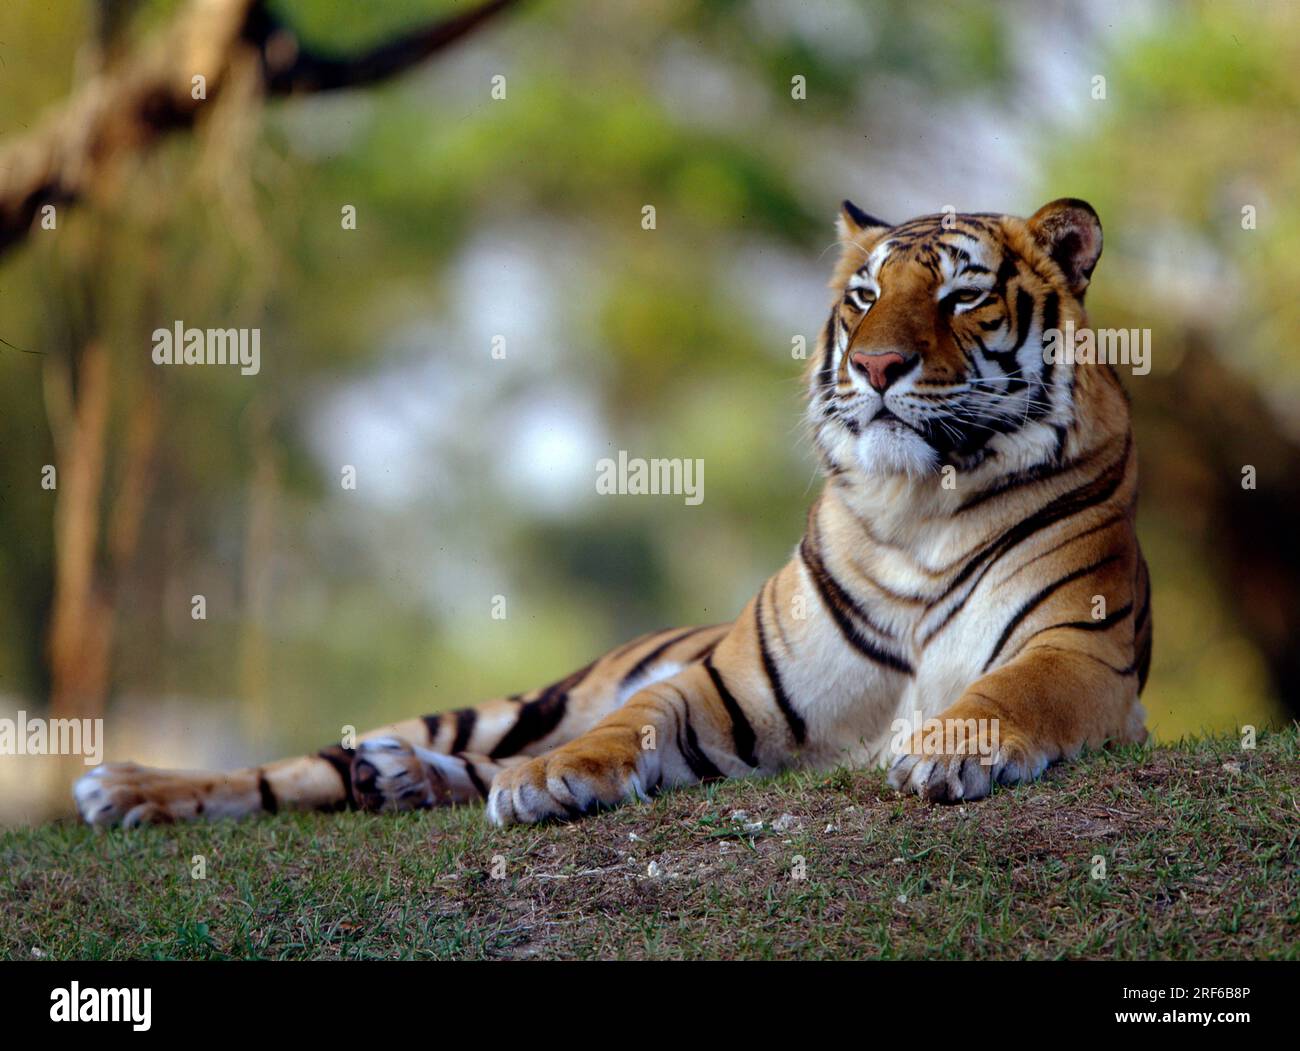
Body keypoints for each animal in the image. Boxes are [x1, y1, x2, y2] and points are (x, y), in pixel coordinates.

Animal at [75, 197, 1152, 829]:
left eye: (963, 297)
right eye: (862, 295)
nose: (876, 366)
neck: (916, 509)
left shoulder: (1076, 648)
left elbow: (1007, 694)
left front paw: (941, 751)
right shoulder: (729, 686)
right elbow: (638, 716)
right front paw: (559, 778)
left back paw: (408, 778)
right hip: (512, 702)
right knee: (300, 767)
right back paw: (132, 788)